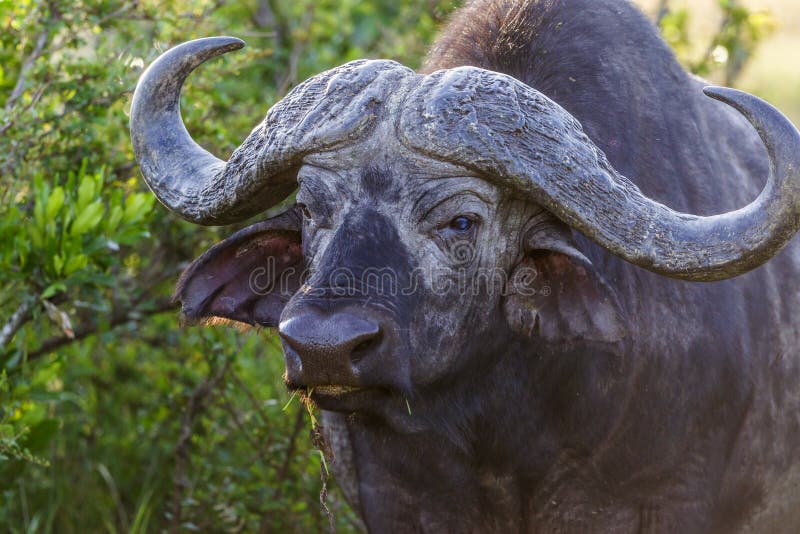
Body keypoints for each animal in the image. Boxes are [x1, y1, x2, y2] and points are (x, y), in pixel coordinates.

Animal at [130, 0, 800, 531]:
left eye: (460, 222)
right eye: (310, 207)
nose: (323, 347)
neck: (499, 427)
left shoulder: (654, 497)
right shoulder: (395, 498)